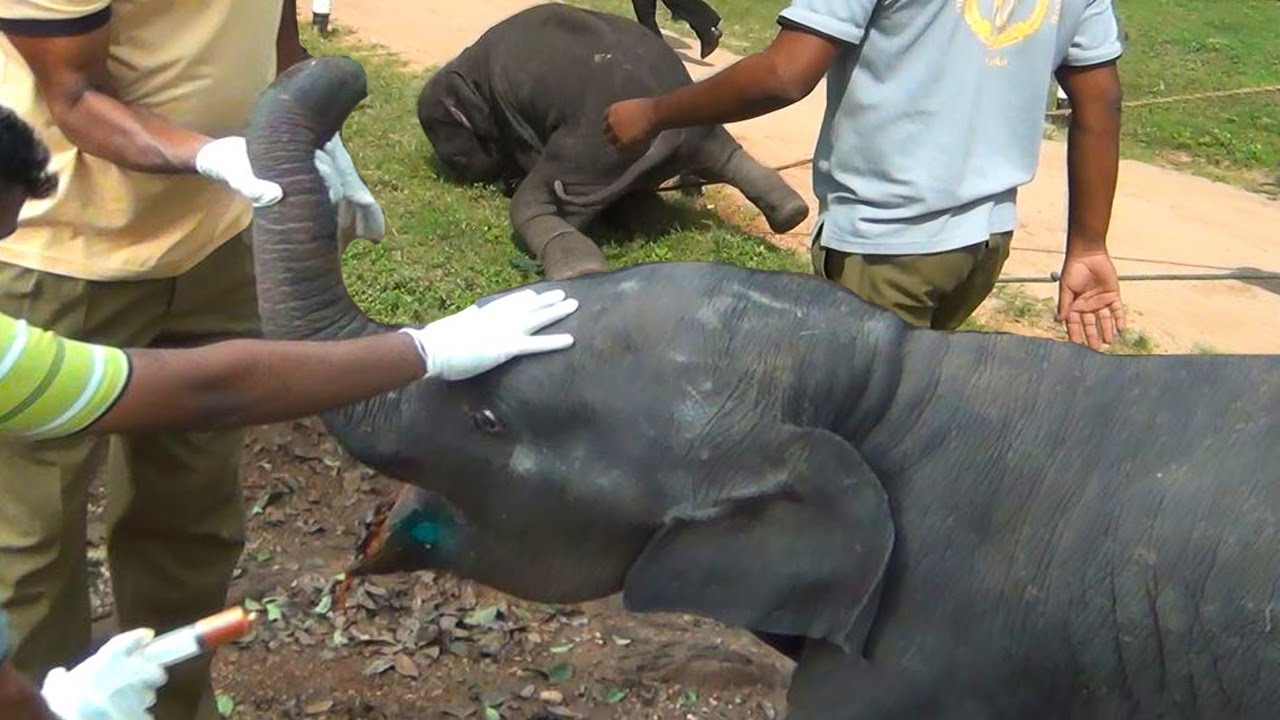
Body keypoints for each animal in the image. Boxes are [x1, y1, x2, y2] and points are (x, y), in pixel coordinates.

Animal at [416, 4, 809, 280]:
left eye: (455, 159)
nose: (454, 168)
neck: (470, 67)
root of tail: (667, 130)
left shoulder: (512, 115)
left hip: (585, 152)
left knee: (538, 204)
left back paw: (578, 268)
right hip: (699, 124)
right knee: (728, 156)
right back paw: (790, 212)